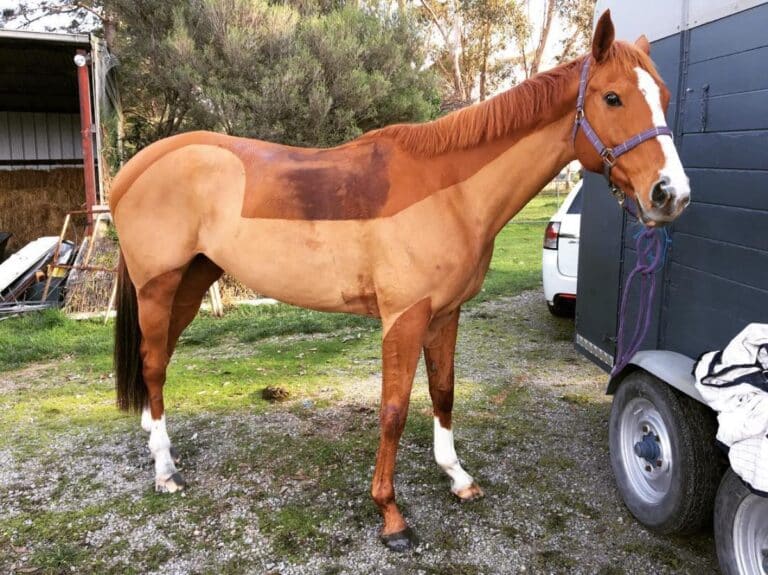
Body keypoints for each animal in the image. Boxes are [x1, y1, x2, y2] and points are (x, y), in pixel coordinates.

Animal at [110, 10, 690, 551]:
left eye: (663, 96)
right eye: (612, 98)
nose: (671, 195)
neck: (451, 192)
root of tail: (132, 171)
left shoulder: (446, 313)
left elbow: (444, 392)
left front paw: (456, 476)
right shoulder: (404, 318)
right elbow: (393, 410)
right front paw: (390, 515)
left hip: (190, 282)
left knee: (157, 360)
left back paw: (154, 439)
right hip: (159, 286)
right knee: (155, 365)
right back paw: (165, 470)